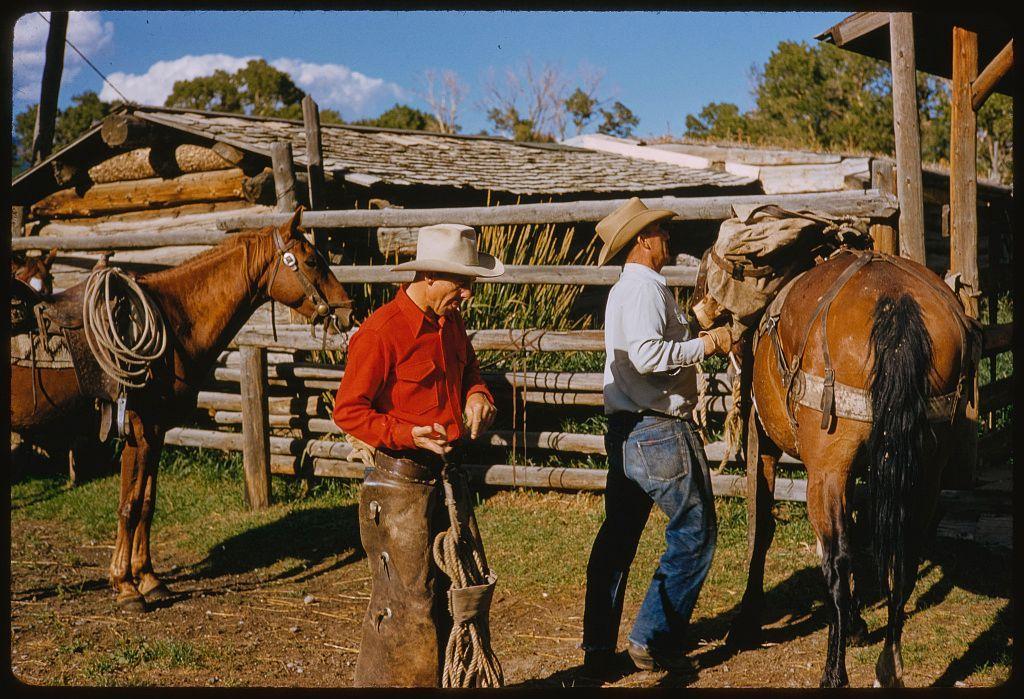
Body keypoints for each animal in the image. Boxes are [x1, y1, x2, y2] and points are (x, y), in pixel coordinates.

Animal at [10, 210, 354, 611]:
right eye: (312, 261)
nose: (349, 311)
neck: (174, 322)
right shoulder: (140, 427)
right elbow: (129, 504)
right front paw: (125, 586)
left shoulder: (156, 431)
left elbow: (146, 503)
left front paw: (148, 580)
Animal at [708, 248, 979, 687]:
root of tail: (897, 302)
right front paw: (854, 623)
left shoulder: (765, 444)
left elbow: (762, 529)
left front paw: (746, 623)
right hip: (923, 473)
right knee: (903, 561)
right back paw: (889, 667)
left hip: (826, 469)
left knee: (837, 560)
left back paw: (834, 672)